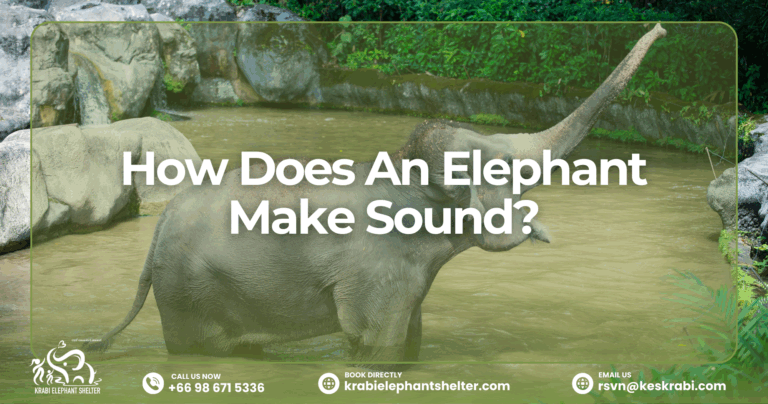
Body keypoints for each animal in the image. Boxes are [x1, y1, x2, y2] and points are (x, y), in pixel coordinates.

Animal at [85, 24, 667, 368]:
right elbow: (377, 344)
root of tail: (156, 230)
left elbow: (410, 339)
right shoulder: (376, 272)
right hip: (187, 294)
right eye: (502, 167)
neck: (410, 174)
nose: (661, 27)